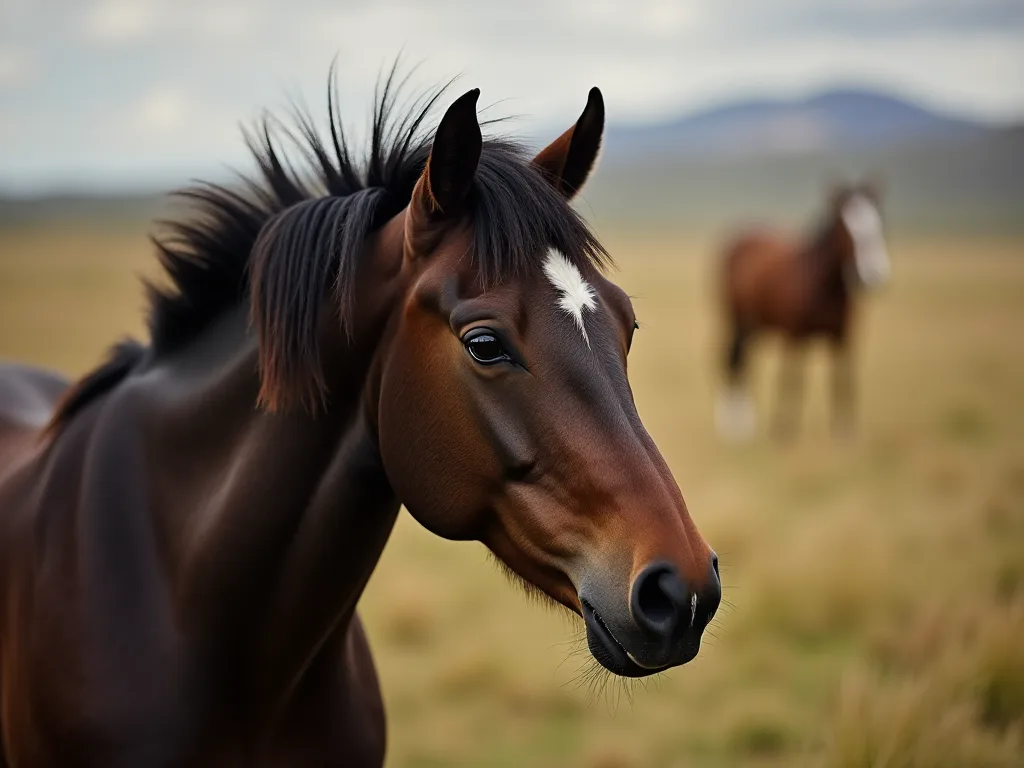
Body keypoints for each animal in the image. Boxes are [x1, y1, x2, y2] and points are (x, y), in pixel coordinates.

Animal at [714, 183, 891, 441]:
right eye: (847, 227)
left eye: (878, 222)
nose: (874, 274)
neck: (826, 285)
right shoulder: (794, 335)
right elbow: (793, 380)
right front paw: (782, 430)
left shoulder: (843, 337)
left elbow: (843, 379)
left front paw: (844, 432)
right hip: (738, 320)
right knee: (733, 359)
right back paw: (736, 426)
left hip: (755, 326)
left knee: (743, 359)